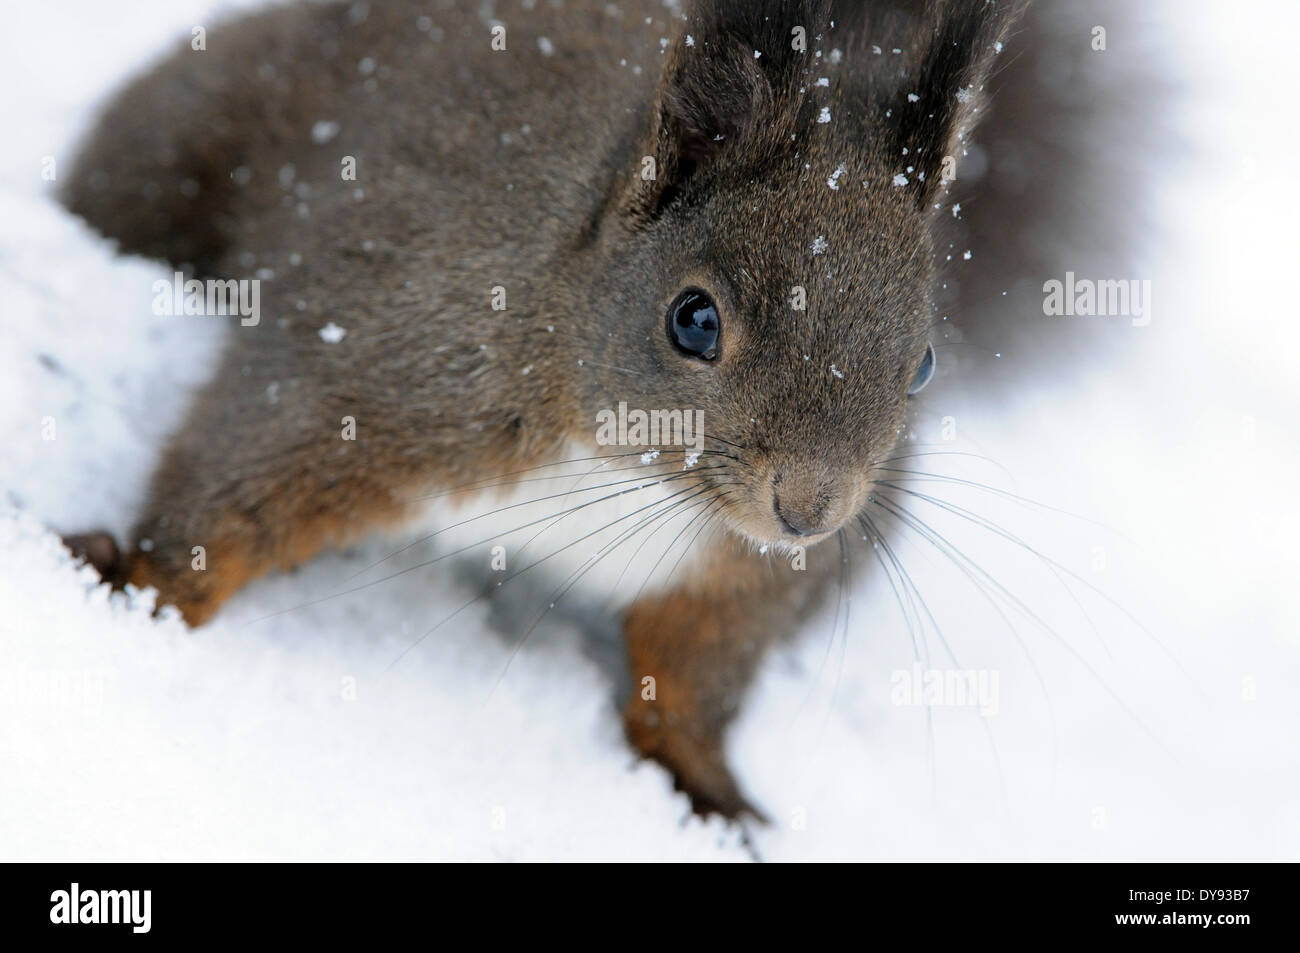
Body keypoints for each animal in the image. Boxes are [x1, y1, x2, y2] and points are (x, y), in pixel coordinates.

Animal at [60, 0, 1039, 819]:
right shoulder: (395, 362)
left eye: (923, 364)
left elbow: (699, 669)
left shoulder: (753, 568)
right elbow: (241, 480)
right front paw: (137, 588)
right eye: (693, 319)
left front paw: (704, 784)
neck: (618, 465)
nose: (806, 510)